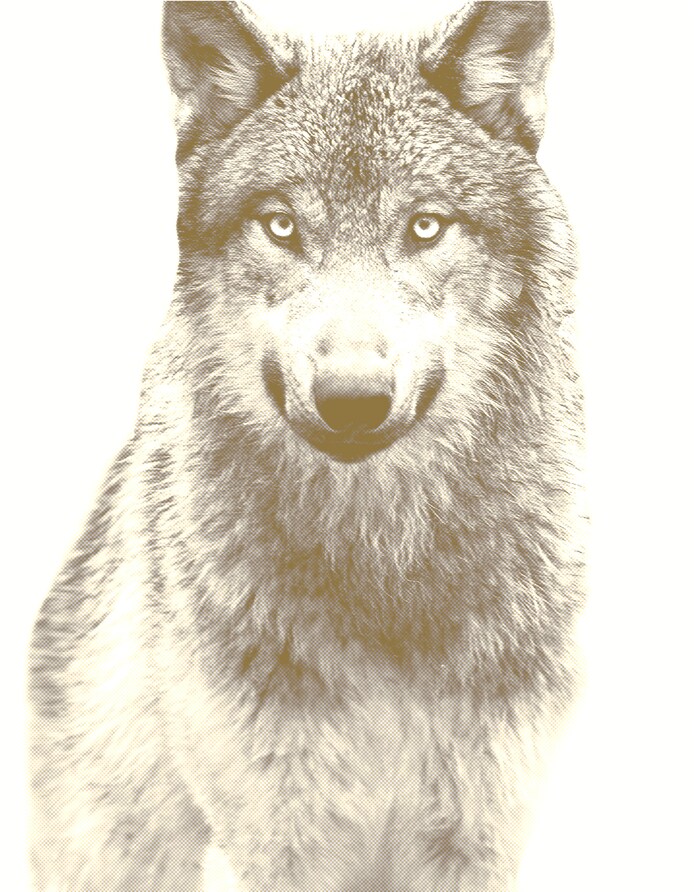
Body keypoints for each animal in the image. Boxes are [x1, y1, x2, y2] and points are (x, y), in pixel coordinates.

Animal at [29, 2, 584, 890]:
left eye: (425, 226)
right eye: (281, 225)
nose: (352, 400)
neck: (379, 565)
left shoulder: (477, 828)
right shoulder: (283, 833)